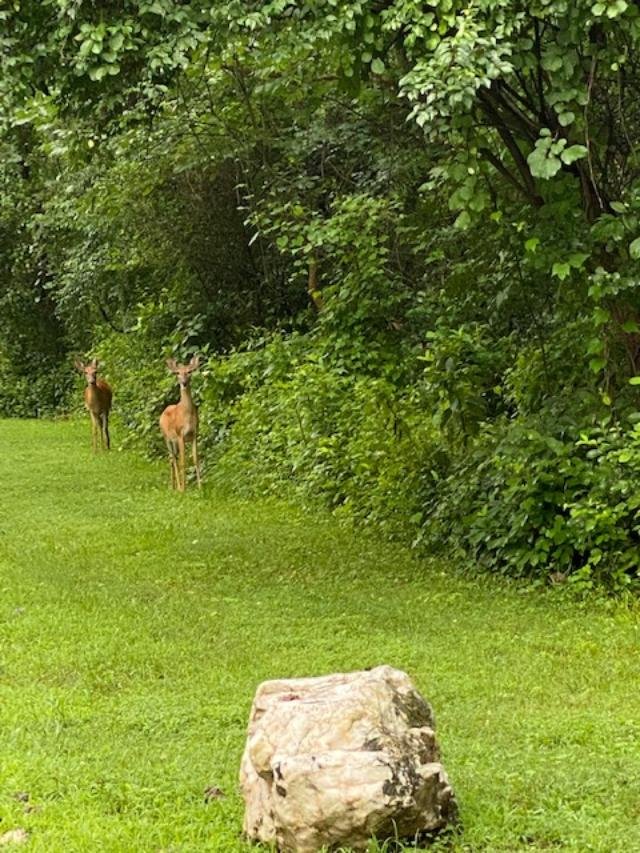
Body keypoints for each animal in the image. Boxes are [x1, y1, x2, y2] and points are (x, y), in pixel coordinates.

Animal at [160, 356, 202, 492]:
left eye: (189, 372)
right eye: (177, 373)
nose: (184, 383)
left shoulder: (194, 434)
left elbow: (195, 459)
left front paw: (200, 486)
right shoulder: (180, 434)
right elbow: (183, 462)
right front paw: (184, 488)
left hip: (174, 442)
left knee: (172, 459)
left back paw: (173, 486)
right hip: (167, 437)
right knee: (173, 458)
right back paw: (178, 487)